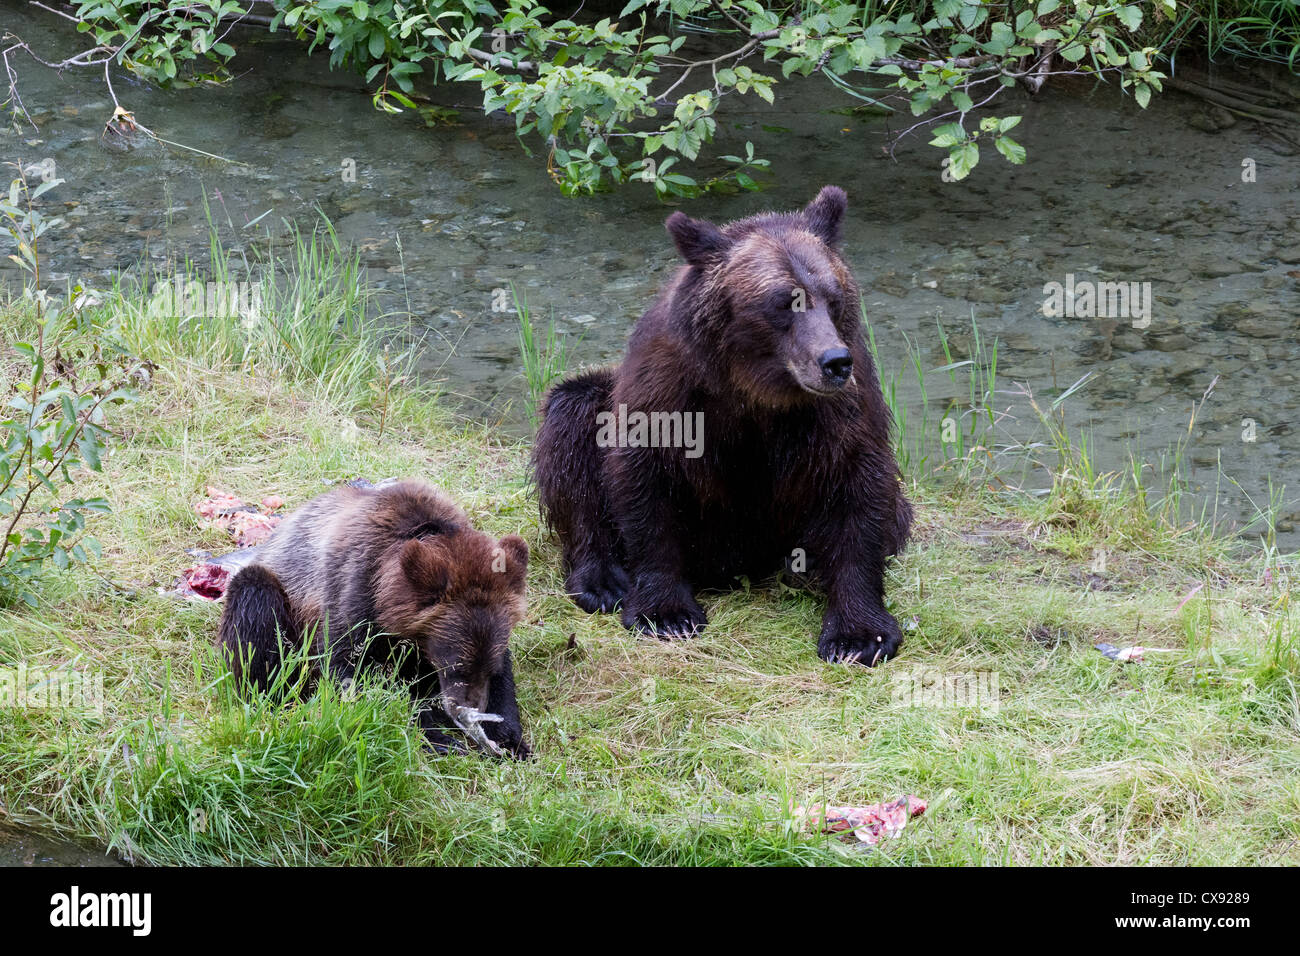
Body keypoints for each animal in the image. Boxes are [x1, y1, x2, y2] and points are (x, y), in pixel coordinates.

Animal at [217, 479, 531, 757]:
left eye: (488, 667)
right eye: (456, 665)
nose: (471, 708)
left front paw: (511, 741)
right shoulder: (353, 588)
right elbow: (351, 669)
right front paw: (438, 737)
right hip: (282, 601)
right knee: (257, 610)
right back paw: (274, 698)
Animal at [533, 185, 912, 666]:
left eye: (833, 296)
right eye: (785, 301)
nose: (834, 362)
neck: (756, 389)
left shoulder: (840, 413)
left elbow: (860, 491)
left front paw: (860, 635)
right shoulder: (670, 394)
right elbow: (645, 486)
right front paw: (666, 613)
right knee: (573, 420)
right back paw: (601, 580)